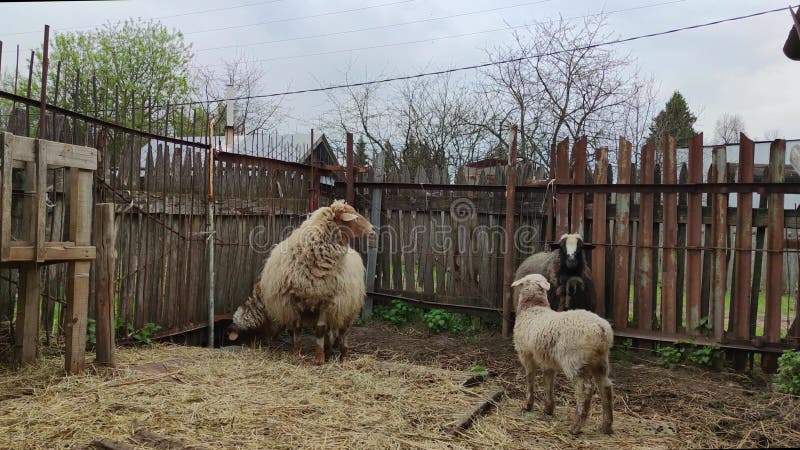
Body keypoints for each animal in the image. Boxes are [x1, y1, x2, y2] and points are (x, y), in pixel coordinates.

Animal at [227, 200, 373, 364]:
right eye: (354, 217)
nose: (373, 230)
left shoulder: (326, 300)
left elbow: (320, 330)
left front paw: (319, 358)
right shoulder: (293, 299)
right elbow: (296, 328)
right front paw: (296, 354)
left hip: (347, 306)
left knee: (343, 331)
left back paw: (343, 356)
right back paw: (329, 349)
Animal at [512, 273, 614, 435]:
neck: (533, 308)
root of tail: (602, 330)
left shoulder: (526, 354)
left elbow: (530, 379)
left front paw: (528, 405)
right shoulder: (547, 360)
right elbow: (548, 382)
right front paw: (548, 408)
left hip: (574, 361)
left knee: (585, 390)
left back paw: (576, 427)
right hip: (600, 361)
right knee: (606, 387)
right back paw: (606, 426)